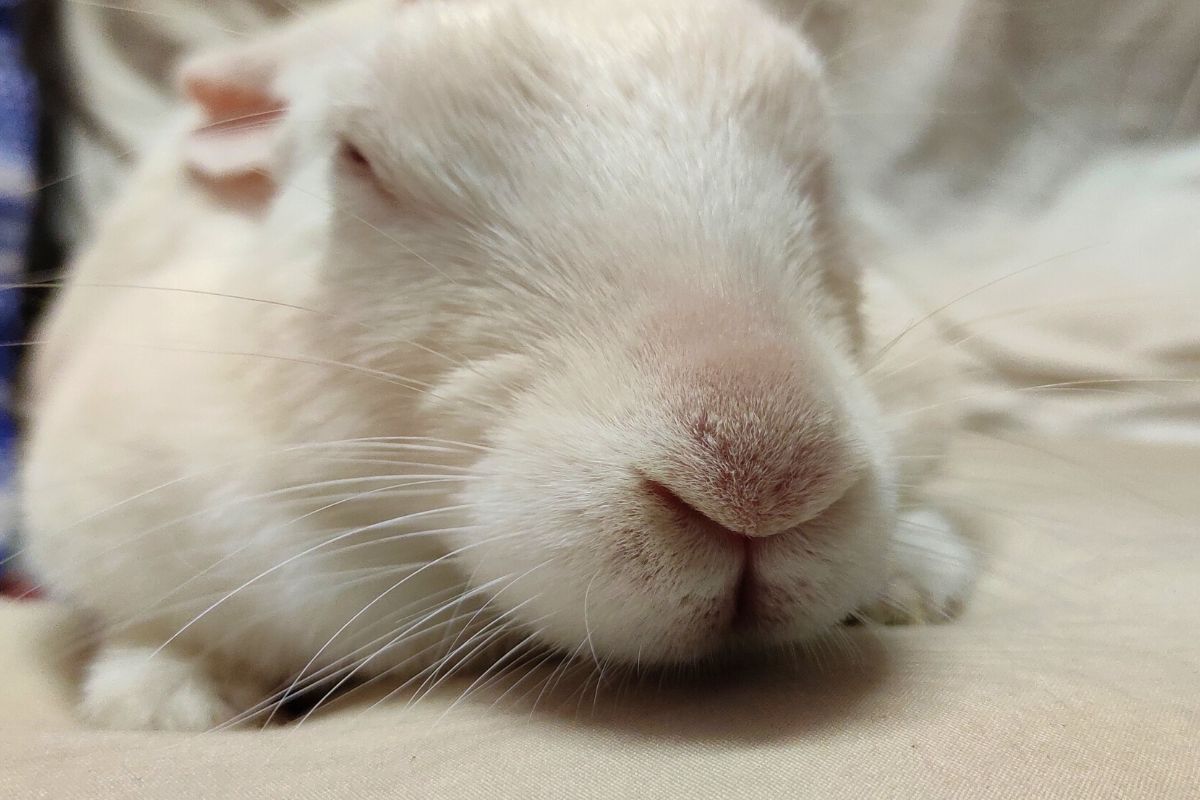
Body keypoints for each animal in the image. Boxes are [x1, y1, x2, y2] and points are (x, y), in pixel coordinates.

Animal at [20, 0, 976, 731]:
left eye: (821, 168)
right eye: (358, 158)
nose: (767, 482)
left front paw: (923, 582)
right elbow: (160, 626)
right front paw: (164, 703)